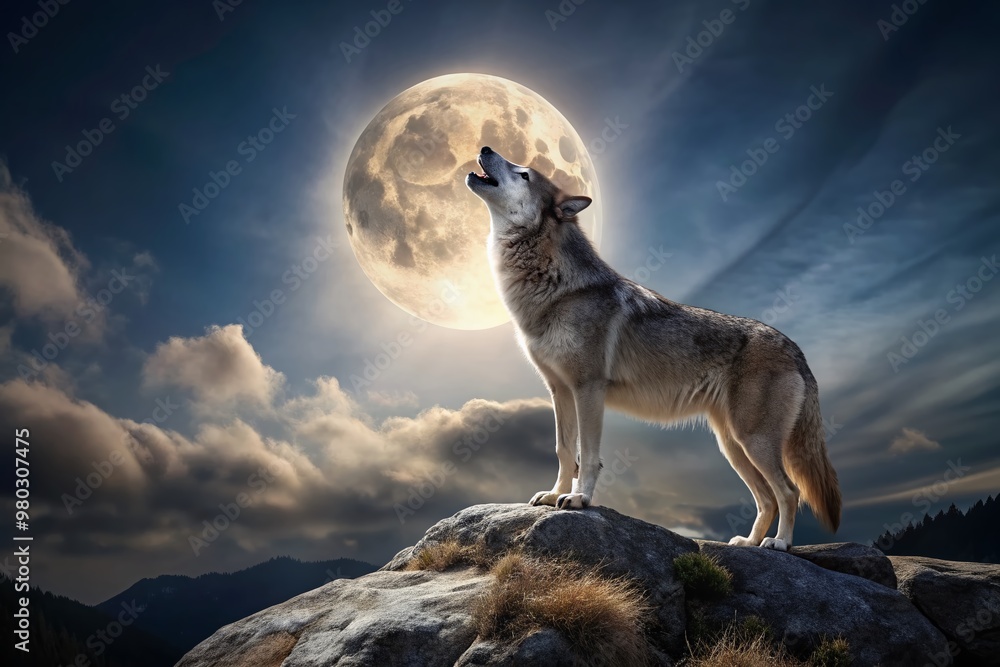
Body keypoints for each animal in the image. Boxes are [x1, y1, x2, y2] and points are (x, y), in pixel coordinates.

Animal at [466, 146, 841, 550]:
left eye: (524, 174)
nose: (485, 148)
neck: (555, 288)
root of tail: (796, 348)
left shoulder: (588, 389)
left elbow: (588, 455)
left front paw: (579, 498)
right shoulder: (560, 391)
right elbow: (565, 451)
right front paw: (554, 495)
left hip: (752, 441)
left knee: (788, 492)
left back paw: (780, 544)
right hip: (733, 446)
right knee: (767, 497)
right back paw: (747, 543)